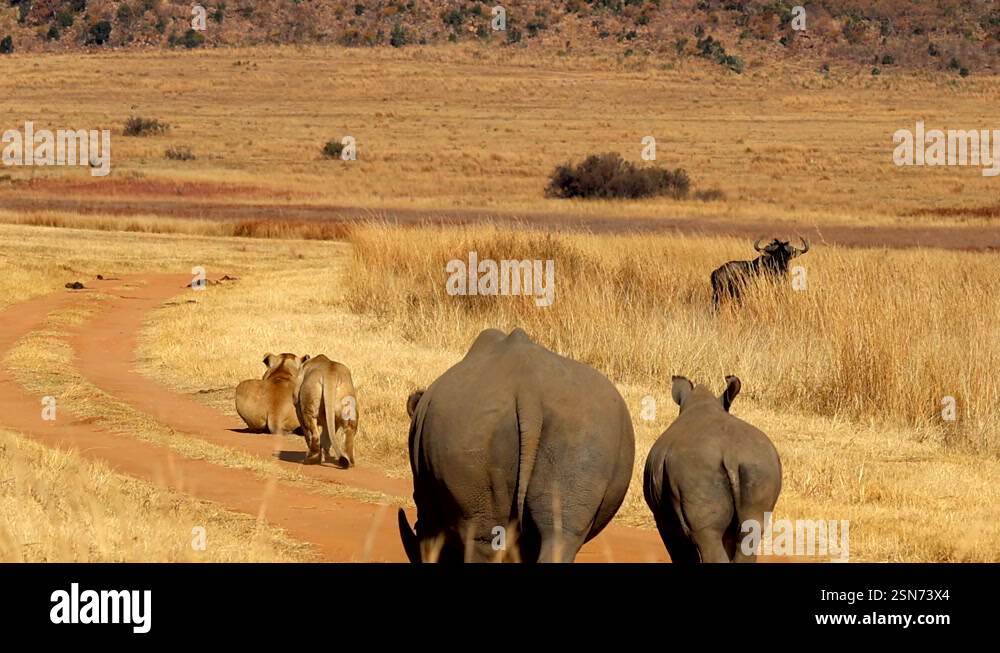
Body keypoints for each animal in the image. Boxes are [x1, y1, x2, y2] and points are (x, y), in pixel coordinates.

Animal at [398, 328, 635, 562]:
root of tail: (530, 393)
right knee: (561, 534)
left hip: (472, 430)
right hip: (585, 429)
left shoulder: (426, 495)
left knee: (483, 537)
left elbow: (430, 532)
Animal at [643, 375, 781, 563]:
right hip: (760, 466)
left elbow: (680, 552)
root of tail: (732, 455)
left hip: (695, 471)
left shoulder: (663, 518)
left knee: (707, 535)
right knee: (751, 530)